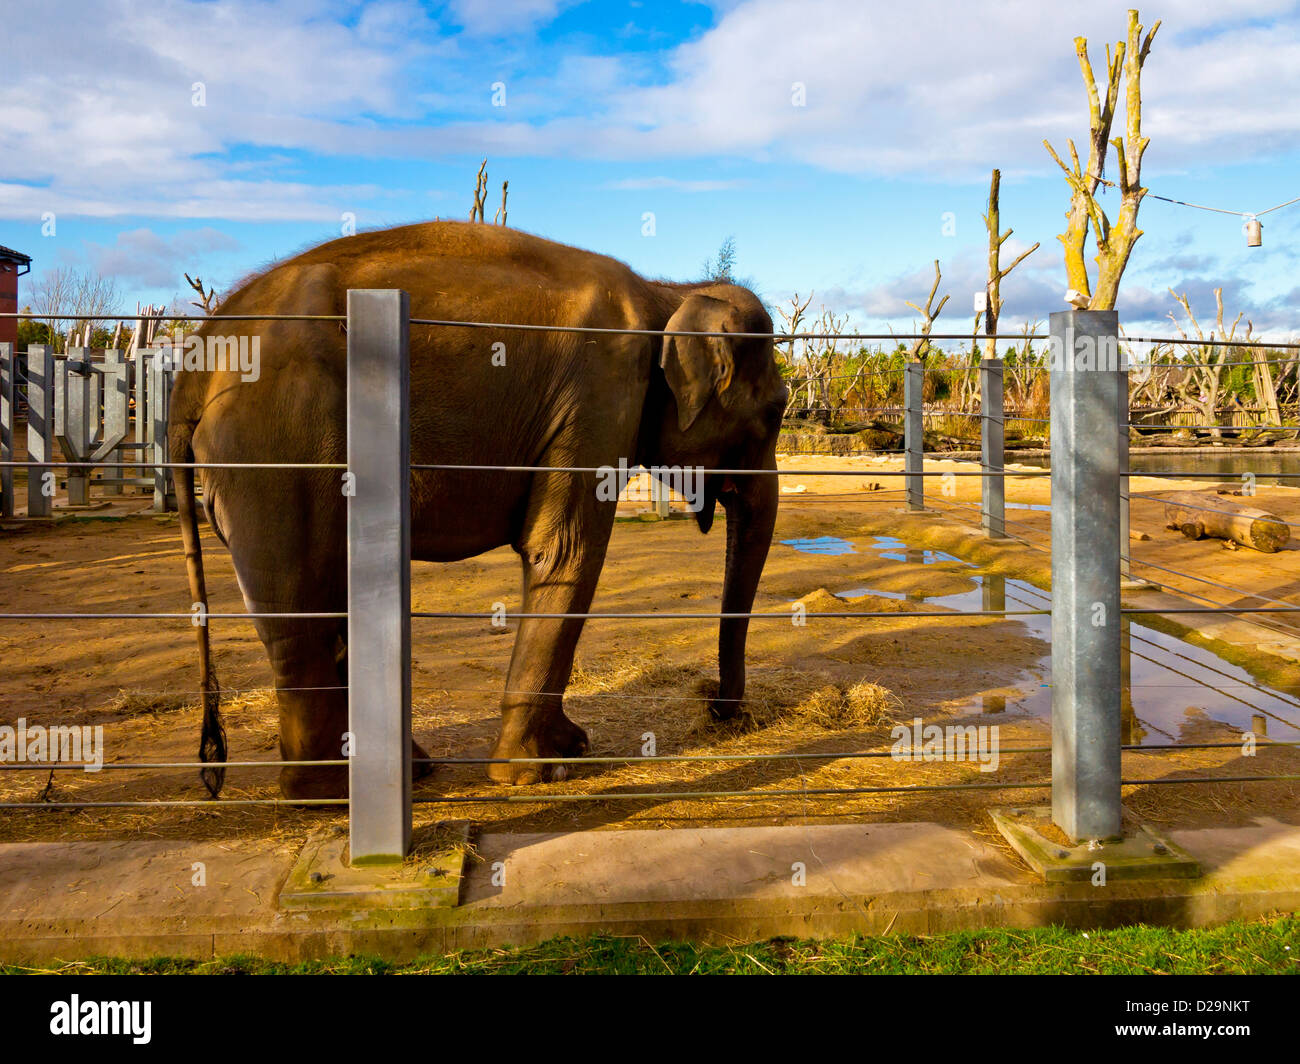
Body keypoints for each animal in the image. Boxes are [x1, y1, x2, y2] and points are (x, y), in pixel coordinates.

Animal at [169, 221, 788, 798]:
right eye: (775, 411)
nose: (717, 709)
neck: (669, 291)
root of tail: (193, 371)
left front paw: (569, 746)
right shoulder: (599, 394)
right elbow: (564, 550)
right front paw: (540, 770)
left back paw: (402, 770)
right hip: (278, 447)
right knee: (303, 604)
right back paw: (326, 791)